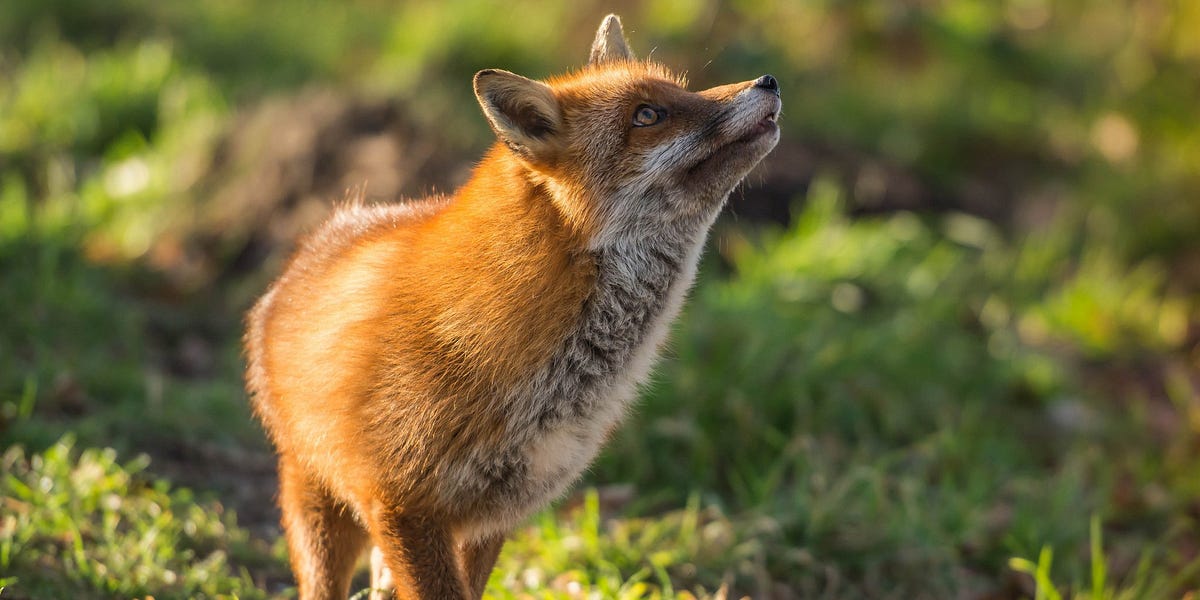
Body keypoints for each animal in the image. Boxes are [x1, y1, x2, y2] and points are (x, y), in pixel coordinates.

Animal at [243, 13, 780, 600]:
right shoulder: (404, 503)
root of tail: (312, 243)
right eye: (648, 115)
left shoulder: (494, 513)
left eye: (681, 91)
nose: (769, 82)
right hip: (317, 500)